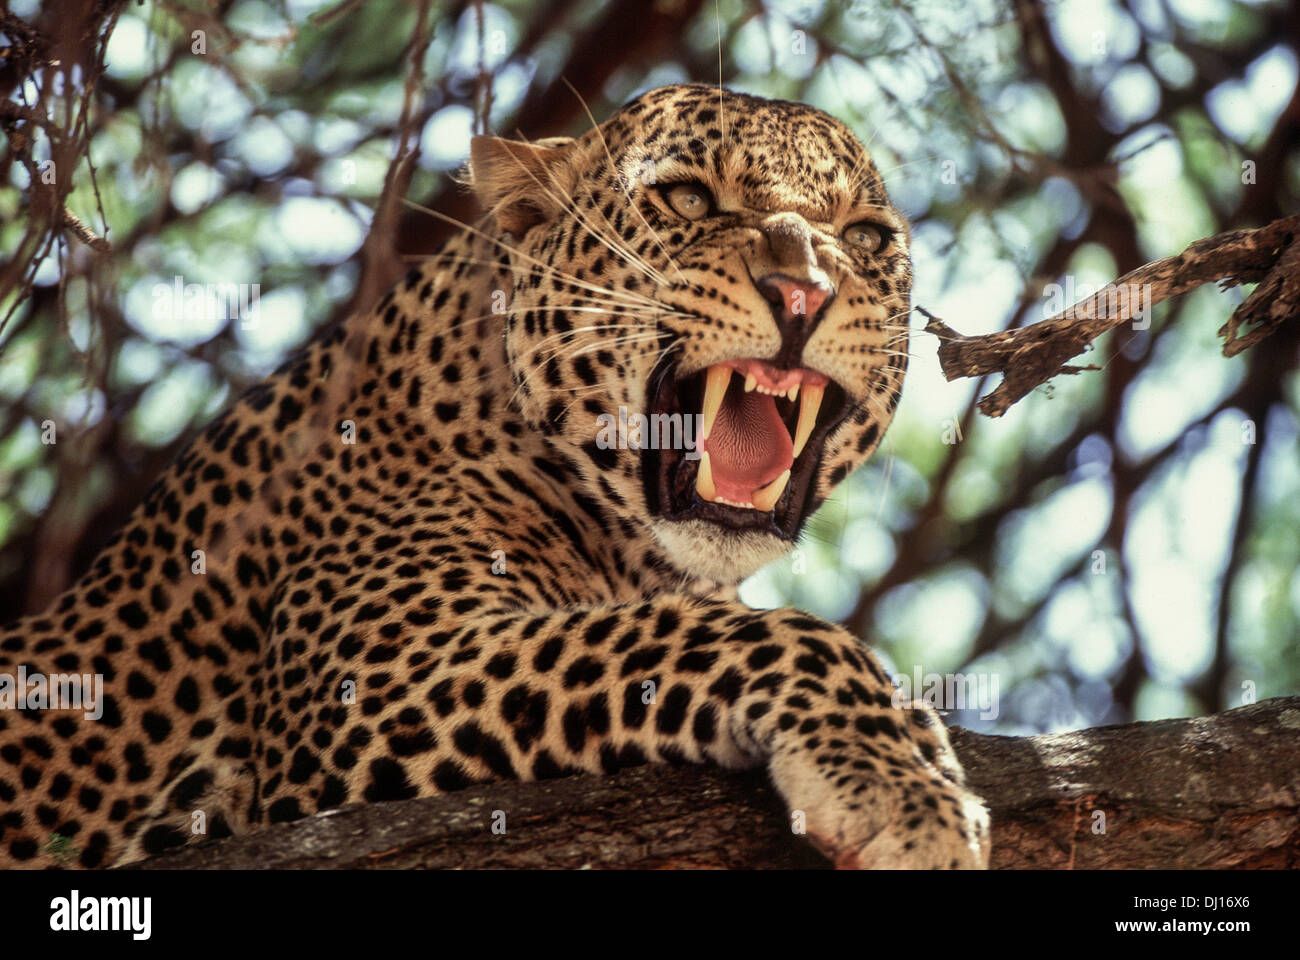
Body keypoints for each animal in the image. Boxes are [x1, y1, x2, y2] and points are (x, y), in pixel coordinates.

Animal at [0, 83, 990, 869]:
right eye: (684, 198)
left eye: (864, 238)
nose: (803, 293)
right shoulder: (377, 676)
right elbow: (733, 633)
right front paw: (901, 784)